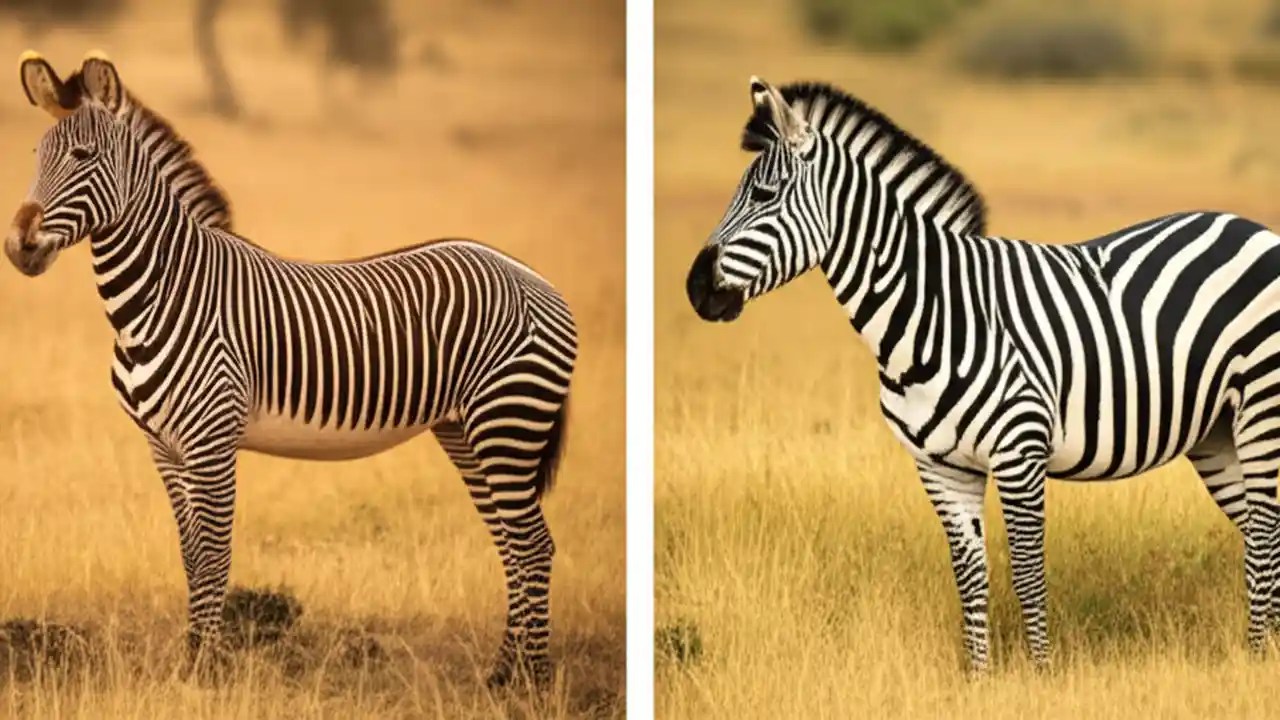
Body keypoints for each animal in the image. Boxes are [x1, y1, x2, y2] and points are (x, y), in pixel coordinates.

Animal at [8, 51, 577, 687]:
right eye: (36, 155)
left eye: (84, 156)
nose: (18, 246)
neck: (160, 297)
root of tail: (529, 274)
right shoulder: (164, 447)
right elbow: (190, 555)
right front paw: (190, 662)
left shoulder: (211, 441)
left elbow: (214, 555)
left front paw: (207, 670)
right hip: (466, 431)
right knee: (512, 542)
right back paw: (503, 671)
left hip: (509, 419)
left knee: (532, 545)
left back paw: (530, 679)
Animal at [685, 76, 1280, 672]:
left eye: (765, 195)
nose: (695, 289)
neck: (934, 314)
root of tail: (1252, 229)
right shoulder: (940, 467)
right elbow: (969, 575)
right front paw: (978, 677)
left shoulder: (1020, 451)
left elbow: (1028, 572)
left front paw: (1040, 675)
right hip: (1217, 432)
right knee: (1261, 535)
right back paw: (1264, 653)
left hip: (1262, 410)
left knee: (1266, 535)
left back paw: (1259, 657)